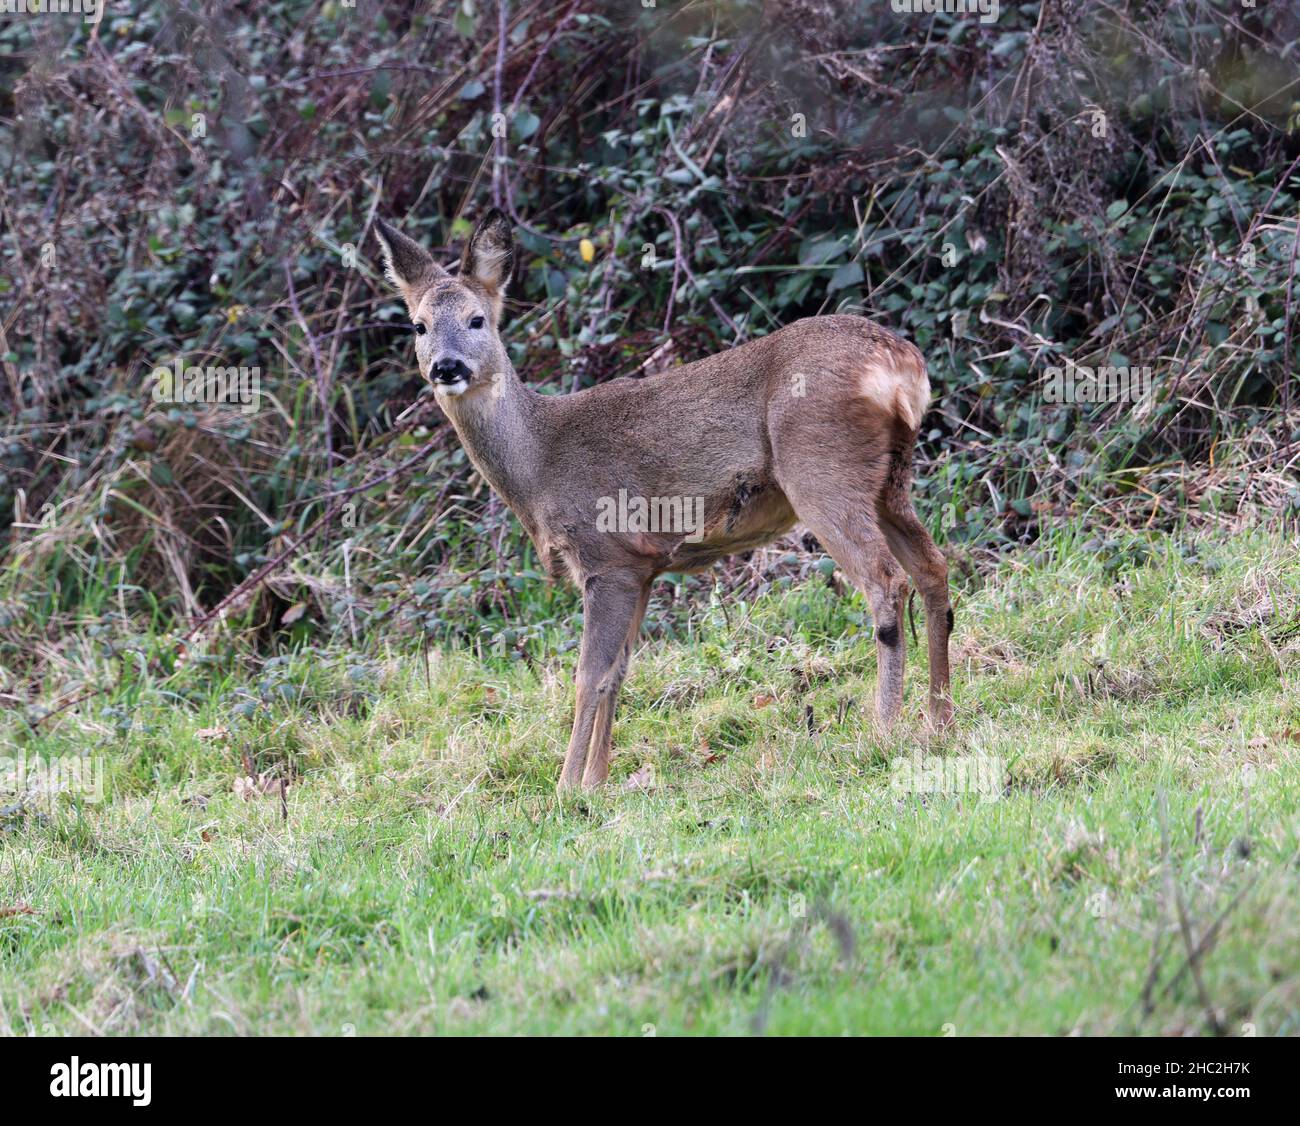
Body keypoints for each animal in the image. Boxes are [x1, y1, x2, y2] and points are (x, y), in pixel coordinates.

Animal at [374, 210, 953, 793]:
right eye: (419, 326)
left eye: (477, 320)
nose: (446, 367)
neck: (539, 462)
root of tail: (902, 367)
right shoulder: (642, 566)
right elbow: (619, 670)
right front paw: (598, 782)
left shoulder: (605, 557)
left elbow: (588, 674)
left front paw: (564, 789)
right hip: (889, 480)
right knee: (932, 568)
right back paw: (938, 718)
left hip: (821, 469)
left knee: (885, 580)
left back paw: (883, 730)